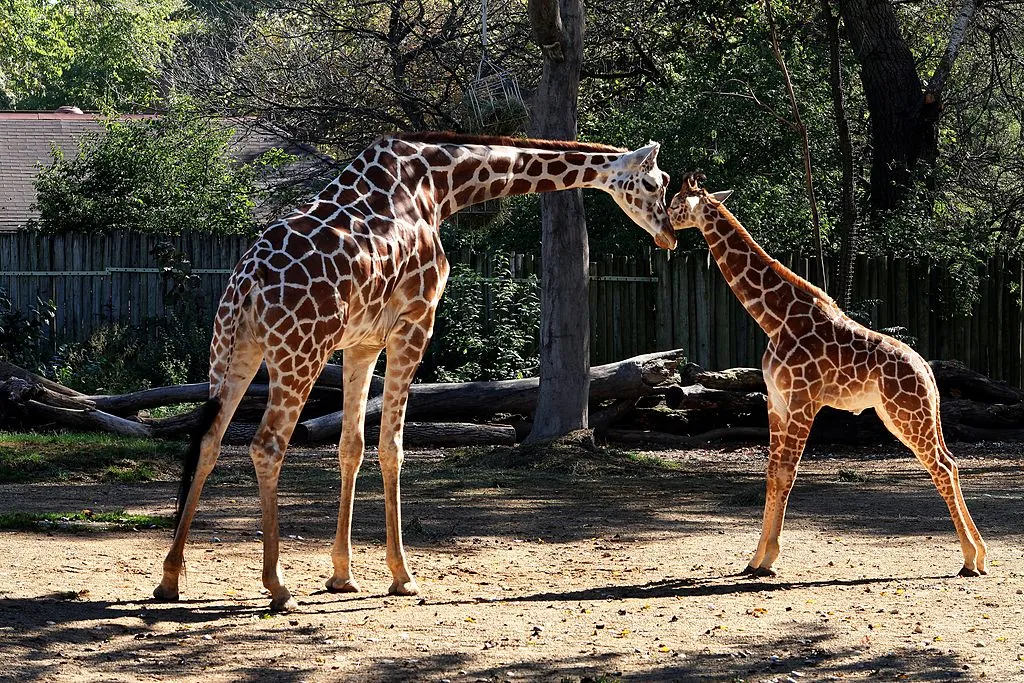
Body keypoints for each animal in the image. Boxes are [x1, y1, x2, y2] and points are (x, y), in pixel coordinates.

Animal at [153, 132, 678, 612]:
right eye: (656, 183)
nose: (669, 234)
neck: (442, 185)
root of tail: (248, 282)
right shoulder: (415, 322)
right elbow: (392, 447)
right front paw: (402, 576)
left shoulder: (362, 342)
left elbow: (350, 447)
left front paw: (341, 576)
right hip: (301, 350)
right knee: (266, 445)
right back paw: (277, 586)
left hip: (234, 348)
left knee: (208, 440)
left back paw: (170, 579)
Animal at [667, 172, 987, 578]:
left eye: (675, 203)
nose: (664, 229)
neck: (774, 318)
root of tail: (928, 374)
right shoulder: (776, 401)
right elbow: (771, 471)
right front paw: (755, 559)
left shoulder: (803, 399)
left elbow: (786, 472)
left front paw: (769, 558)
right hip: (902, 414)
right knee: (950, 461)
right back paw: (979, 554)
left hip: (907, 413)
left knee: (942, 465)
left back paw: (970, 559)